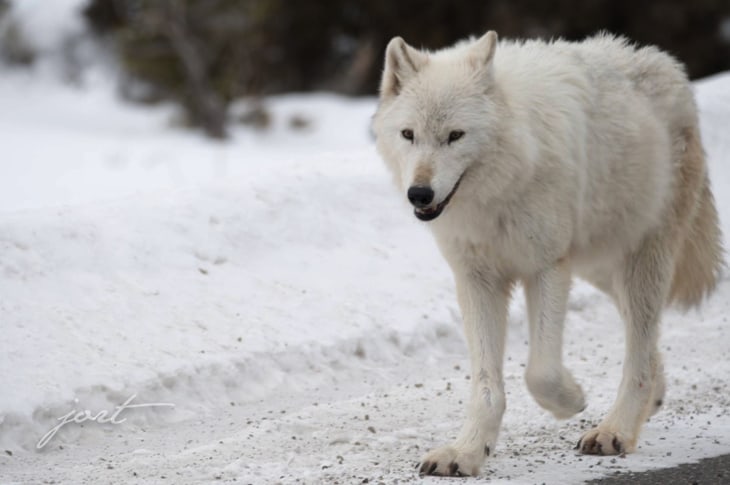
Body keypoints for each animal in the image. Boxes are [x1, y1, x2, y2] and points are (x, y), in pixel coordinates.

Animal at [372, 31, 723, 477]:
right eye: (408, 134)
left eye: (455, 135)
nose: (419, 193)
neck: (498, 189)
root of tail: (666, 65)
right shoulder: (477, 279)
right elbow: (486, 384)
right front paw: (466, 453)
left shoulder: (546, 267)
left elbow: (540, 373)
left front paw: (573, 400)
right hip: (598, 267)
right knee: (643, 340)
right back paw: (652, 399)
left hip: (641, 259)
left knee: (639, 351)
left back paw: (615, 431)